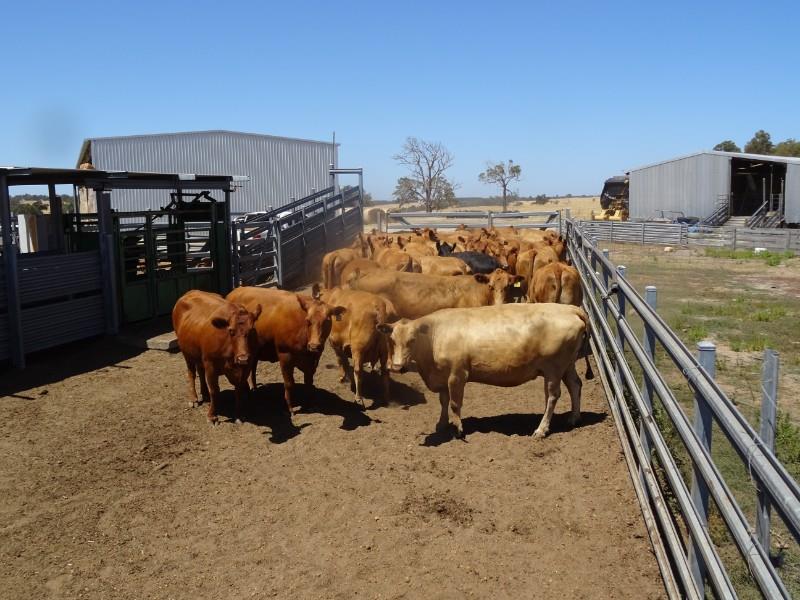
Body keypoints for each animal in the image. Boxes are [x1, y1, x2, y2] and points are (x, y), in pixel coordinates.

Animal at [172, 290, 262, 424]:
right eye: (231, 331)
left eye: (251, 330)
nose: (243, 358)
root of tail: (191, 292)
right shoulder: (211, 365)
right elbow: (214, 390)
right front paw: (212, 416)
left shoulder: (247, 366)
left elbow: (239, 389)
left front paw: (239, 414)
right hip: (187, 353)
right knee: (192, 373)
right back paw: (194, 398)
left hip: (199, 356)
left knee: (200, 371)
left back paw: (204, 393)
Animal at [226, 286, 345, 417]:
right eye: (308, 321)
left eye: (327, 321)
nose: (314, 346)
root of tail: (236, 290)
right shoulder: (285, 356)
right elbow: (289, 383)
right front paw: (290, 408)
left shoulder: (312, 361)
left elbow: (309, 382)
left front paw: (309, 405)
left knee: (252, 367)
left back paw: (254, 390)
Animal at [377, 303, 589, 439]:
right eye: (392, 340)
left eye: (412, 340)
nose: (397, 367)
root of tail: (570, 308)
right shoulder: (442, 377)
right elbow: (443, 401)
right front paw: (442, 423)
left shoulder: (457, 374)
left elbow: (455, 404)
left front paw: (459, 429)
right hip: (567, 365)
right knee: (575, 385)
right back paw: (574, 417)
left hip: (554, 368)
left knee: (552, 396)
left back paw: (541, 429)